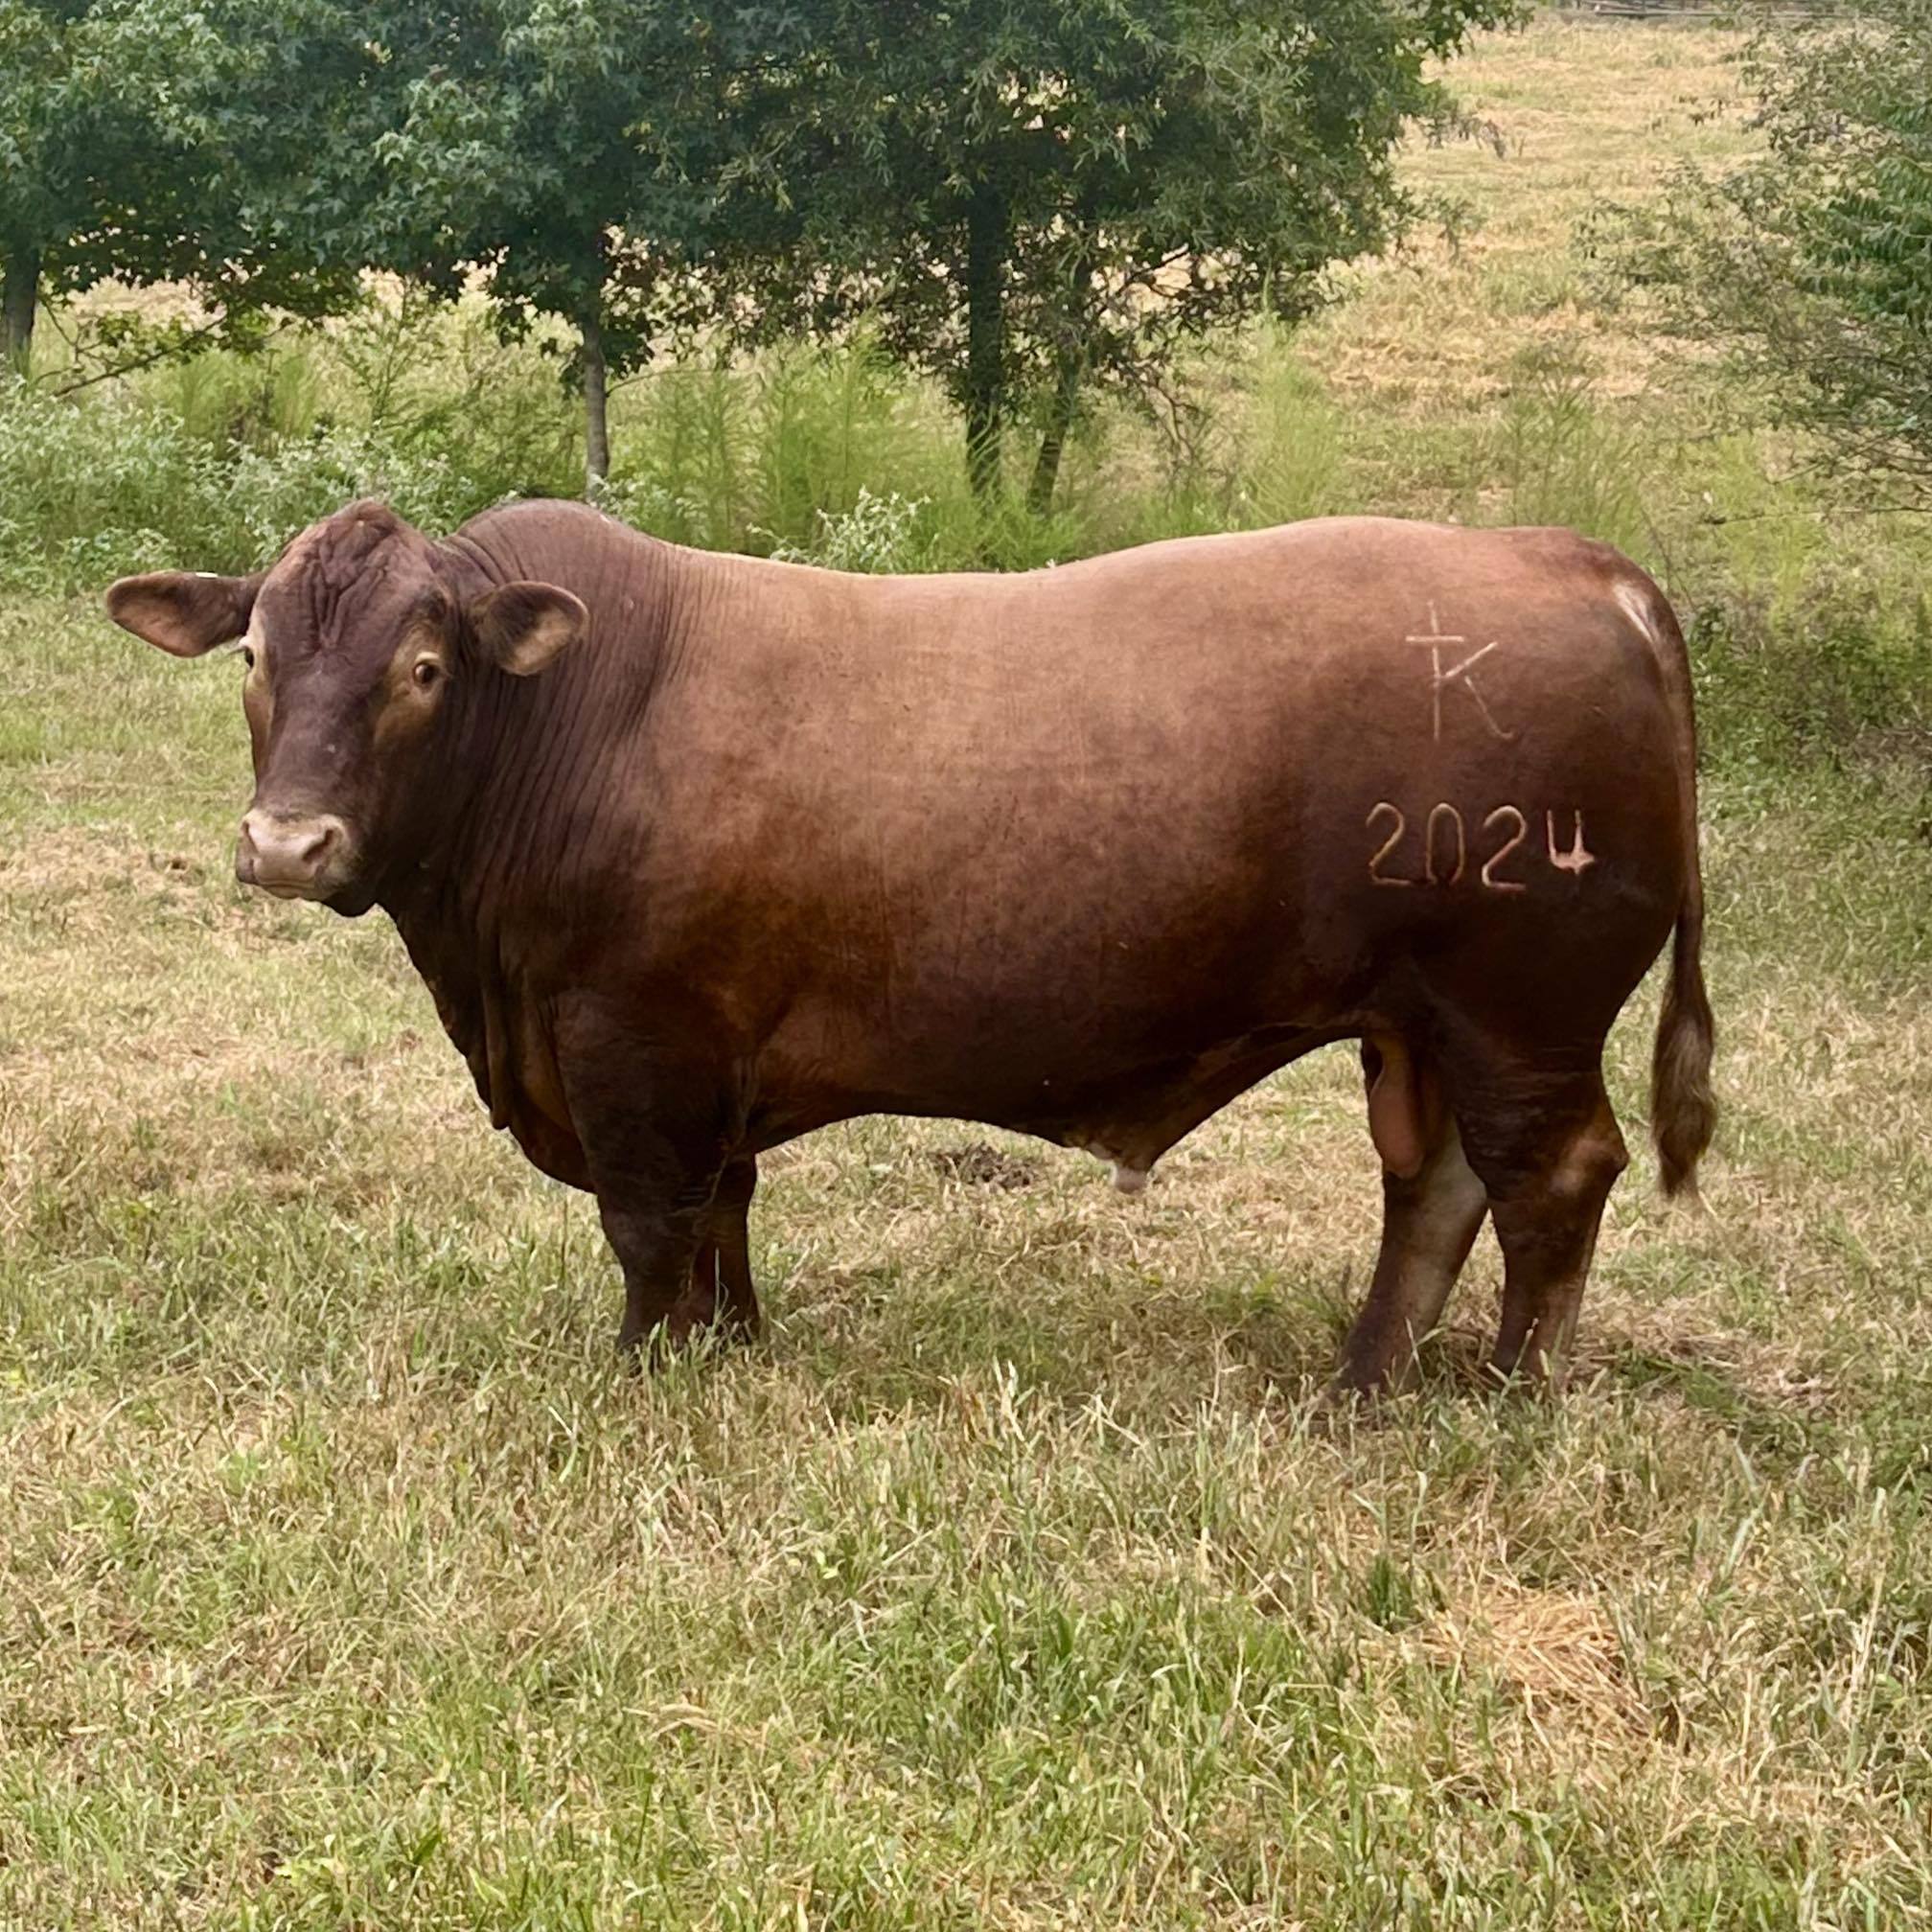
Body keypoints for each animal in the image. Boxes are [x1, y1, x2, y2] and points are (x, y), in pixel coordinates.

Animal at [106, 499, 1715, 1392]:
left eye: (425, 668)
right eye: (255, 656)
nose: (286, 846)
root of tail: (1575, 563)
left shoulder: (631, 1038)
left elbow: (648, 1224)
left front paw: (642, 1375)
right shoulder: (712, 1054)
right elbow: (724, 1211)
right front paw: (732, 1351)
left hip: (1518, 1005)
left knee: (1551, 1178)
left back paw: (1512, 1395)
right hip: (1418, 1020)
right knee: (1436, 1188)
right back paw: (1369, 1380)